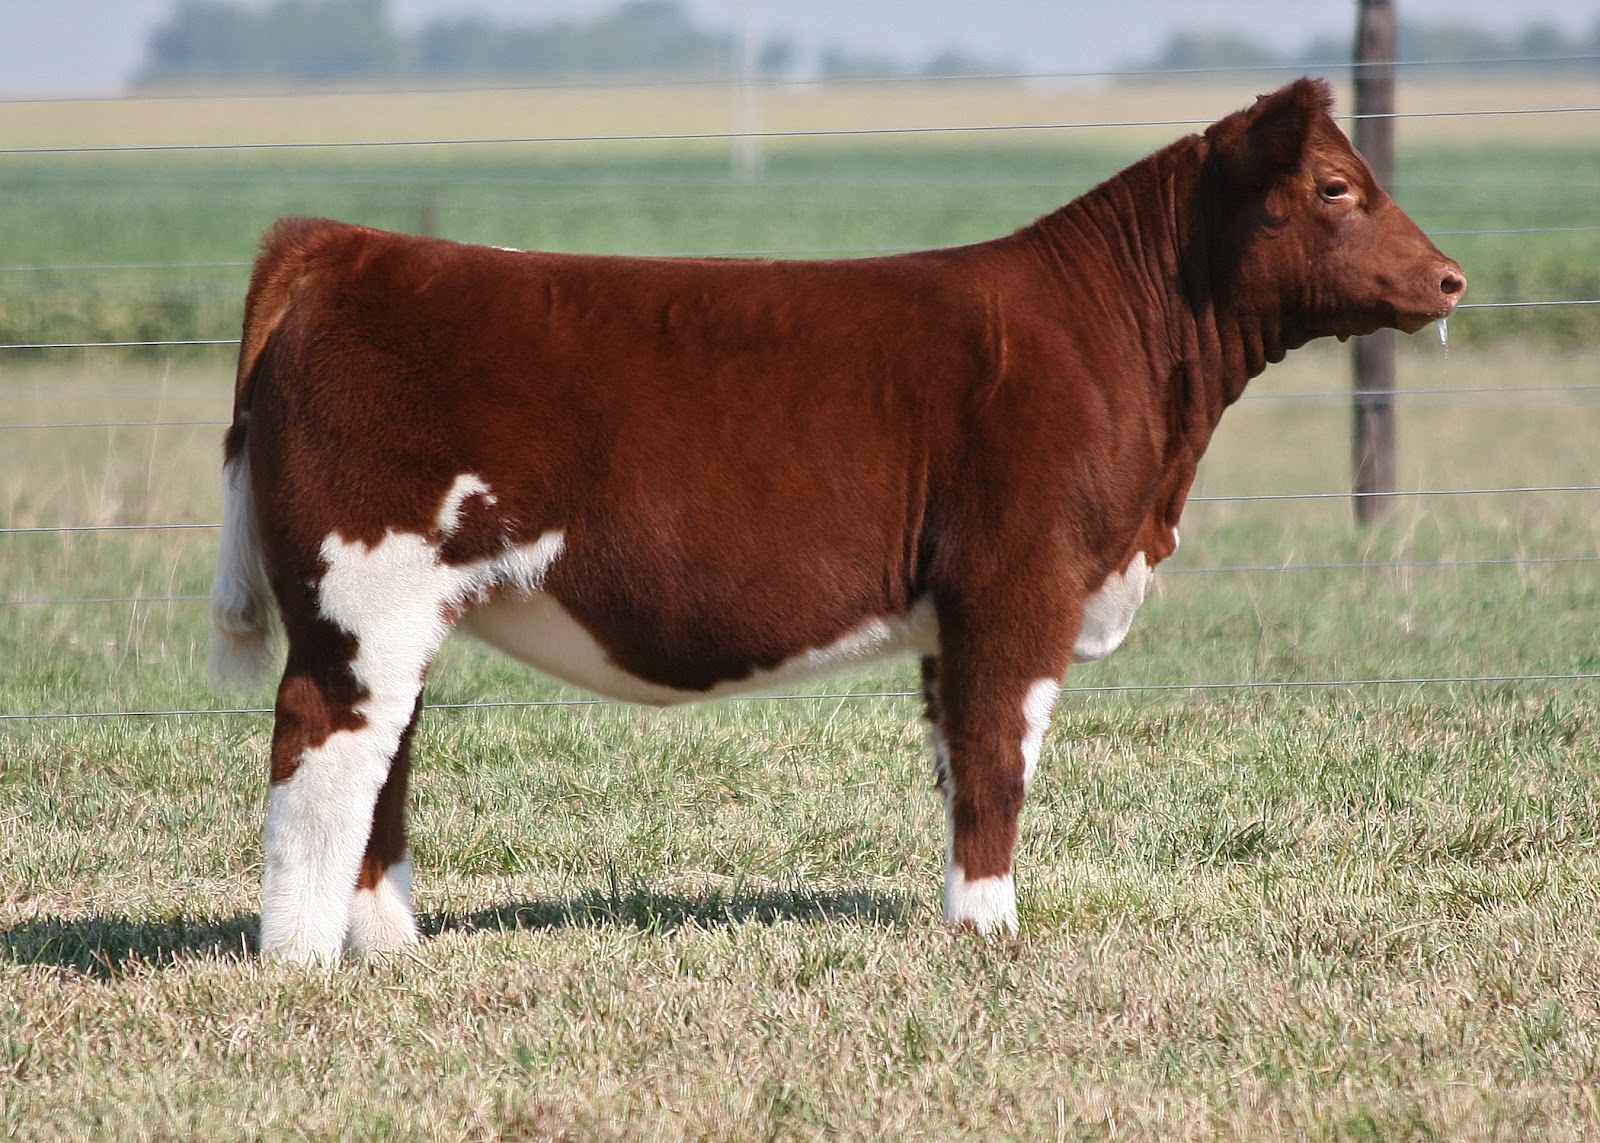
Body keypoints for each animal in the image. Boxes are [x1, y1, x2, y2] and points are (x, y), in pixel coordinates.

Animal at [208, 78, 1464, 963]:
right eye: (1336, 188)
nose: (1450, 278)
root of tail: (345, 244)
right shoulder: (1017, 581)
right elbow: (999, 759)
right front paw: (990, 934)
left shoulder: (957, 612)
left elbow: (956, 763)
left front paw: (963, 918)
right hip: (360, 591)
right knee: (320, 747)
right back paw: (300, 960)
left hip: (398, 609)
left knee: (384, 758)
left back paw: (391, 945)